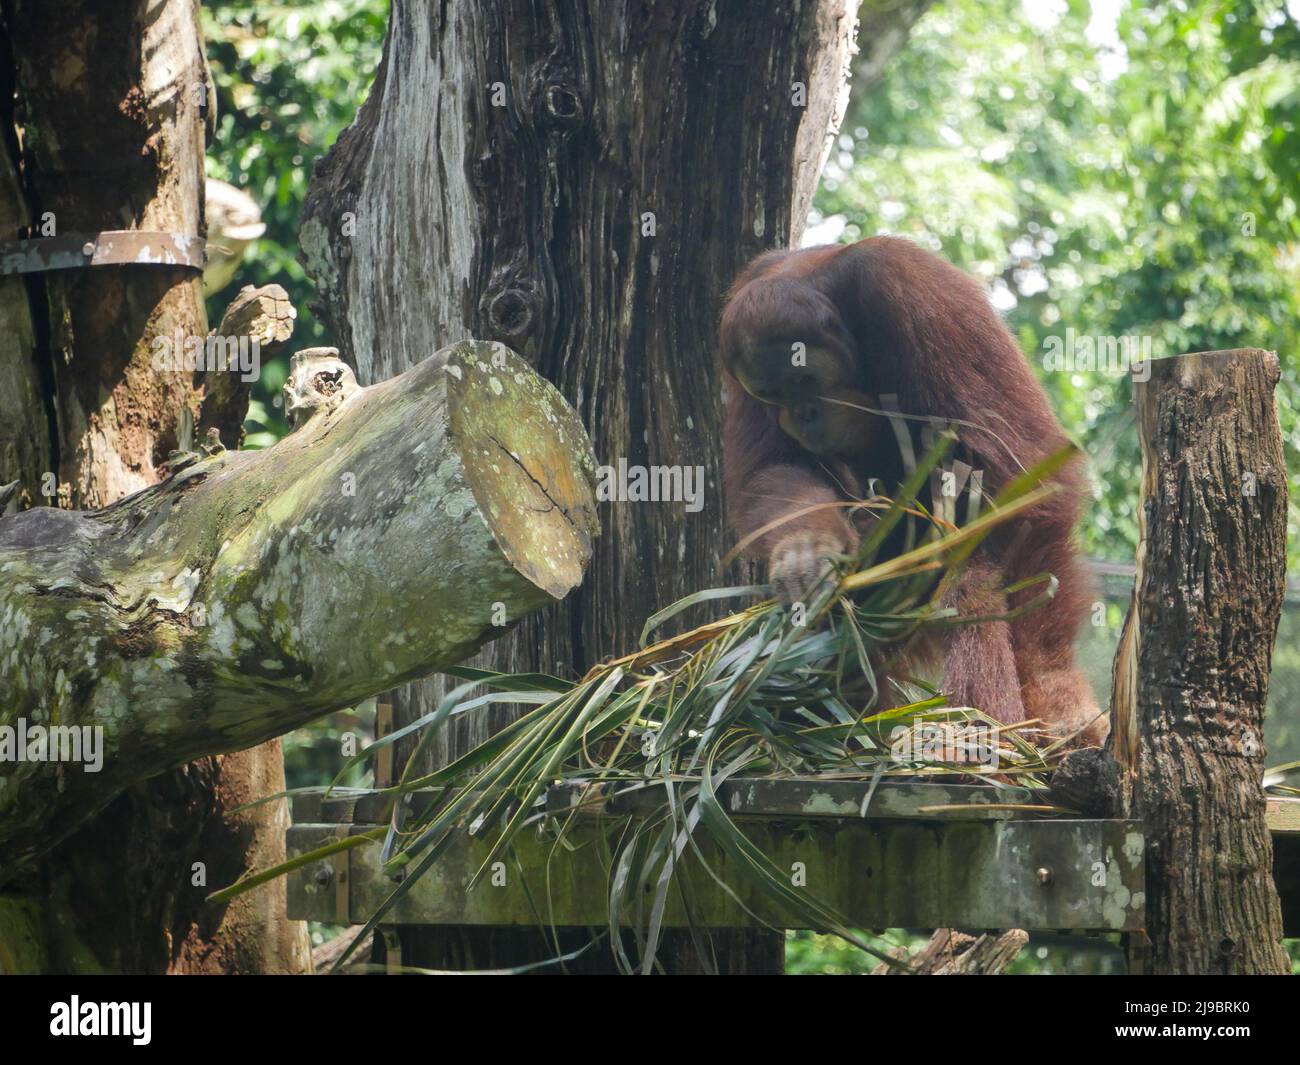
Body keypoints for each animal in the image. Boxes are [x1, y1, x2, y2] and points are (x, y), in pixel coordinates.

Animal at [719, 236, 1104, 744]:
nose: (804, 414)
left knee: (973, 556)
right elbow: (774, 467)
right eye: (773, 394)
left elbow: (1016, 471)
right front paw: (806, 548)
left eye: (804, 380)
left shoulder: (906, 286)